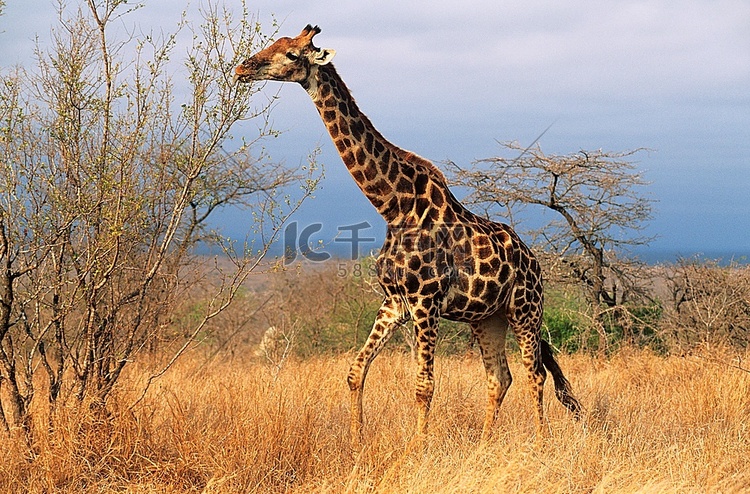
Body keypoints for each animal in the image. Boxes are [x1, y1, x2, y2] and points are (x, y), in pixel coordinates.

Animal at [234, 25, 581, 444]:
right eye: (274, 43)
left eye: (291, 54)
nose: (242, 67)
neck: (394, 207)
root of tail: (535, 260)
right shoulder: (395, 302)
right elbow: (355, 372)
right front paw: (358, 441)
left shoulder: (425, 302)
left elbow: (424, 386)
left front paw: (418, 448)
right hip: (487, 317)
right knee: (500, 376)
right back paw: (485, 444)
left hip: (525, 310)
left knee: (536, 374)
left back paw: (542, 441)